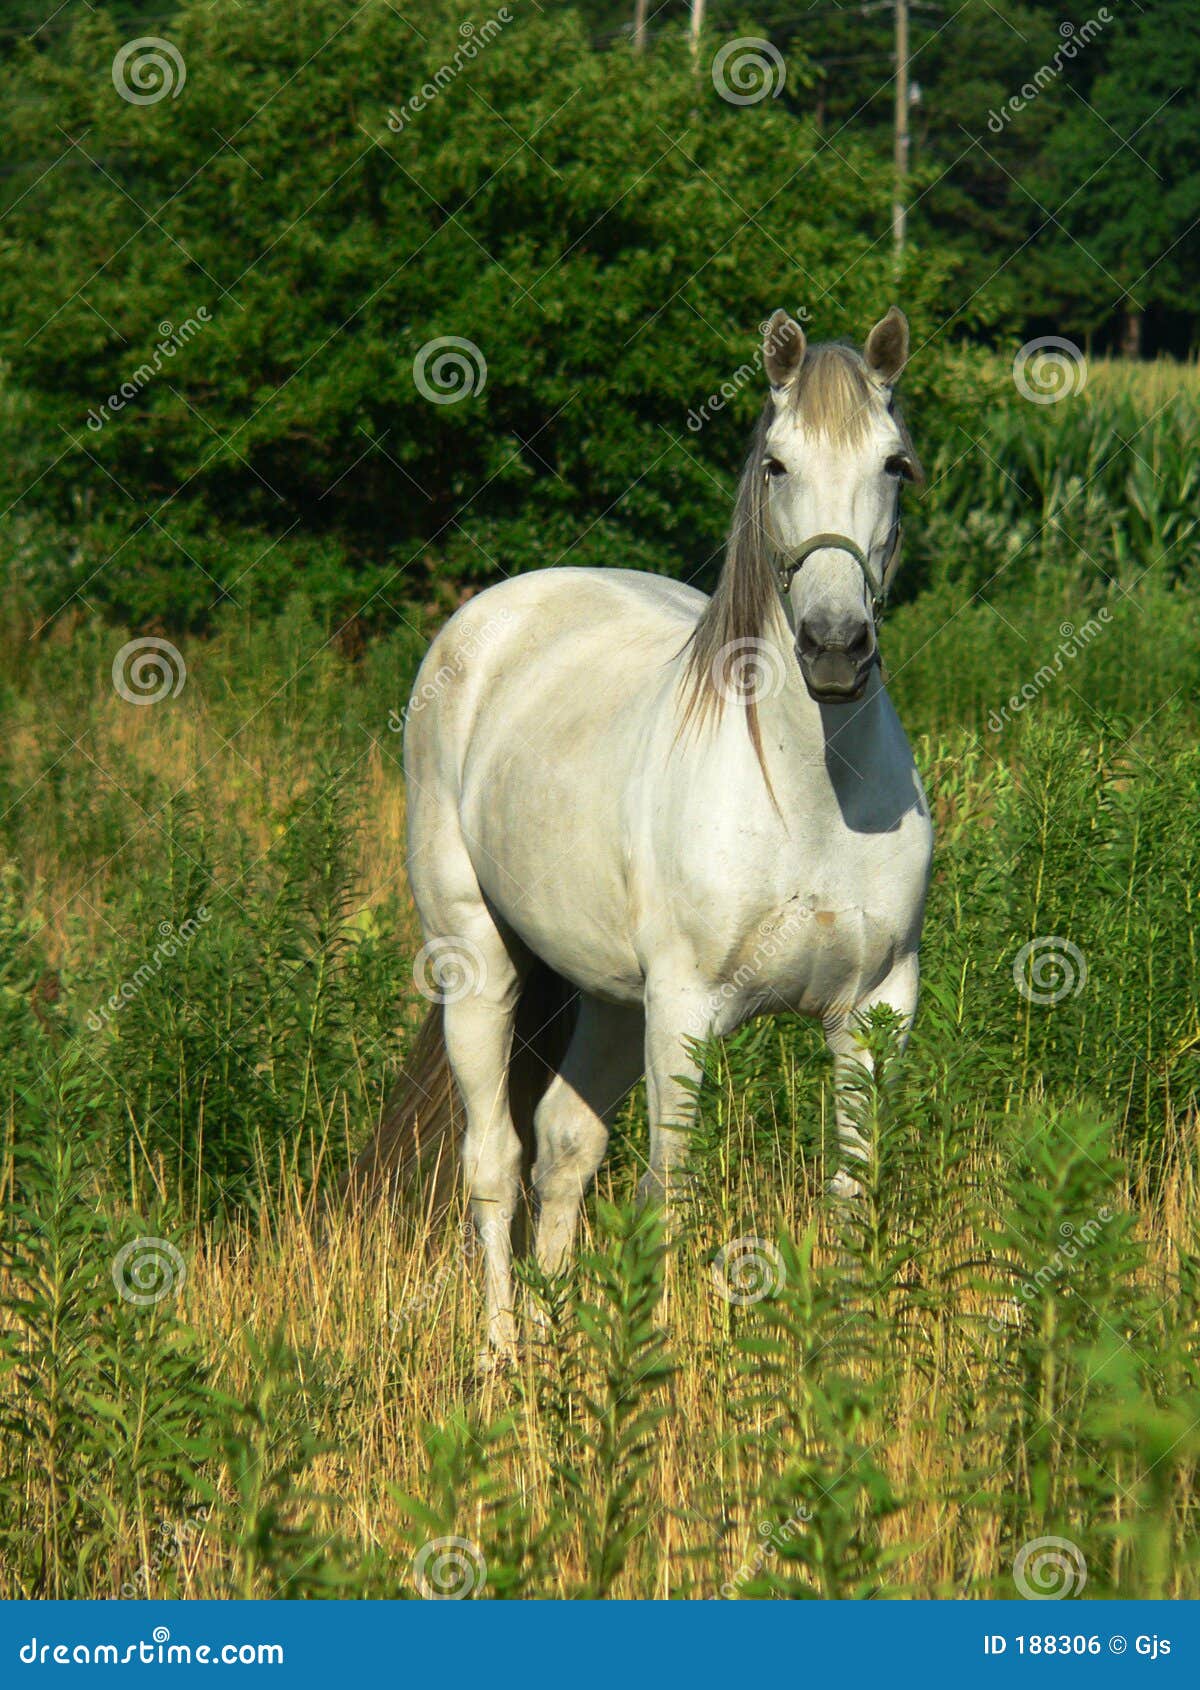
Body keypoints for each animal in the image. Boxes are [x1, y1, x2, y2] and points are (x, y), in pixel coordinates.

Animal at [351, 306, 934, 1358]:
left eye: (895, 463)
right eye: (776, 463)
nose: (834, 648)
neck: (810, 797)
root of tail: (489, 619)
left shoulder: (876, 1010)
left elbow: (850, 1190)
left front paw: (847, 1362)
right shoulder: (688, 1011)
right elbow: (675, 1192)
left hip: (612, 998)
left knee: (564, 1149)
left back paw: (552, 1342)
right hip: (478, 963)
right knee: (494, 1159)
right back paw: (503, 1355)